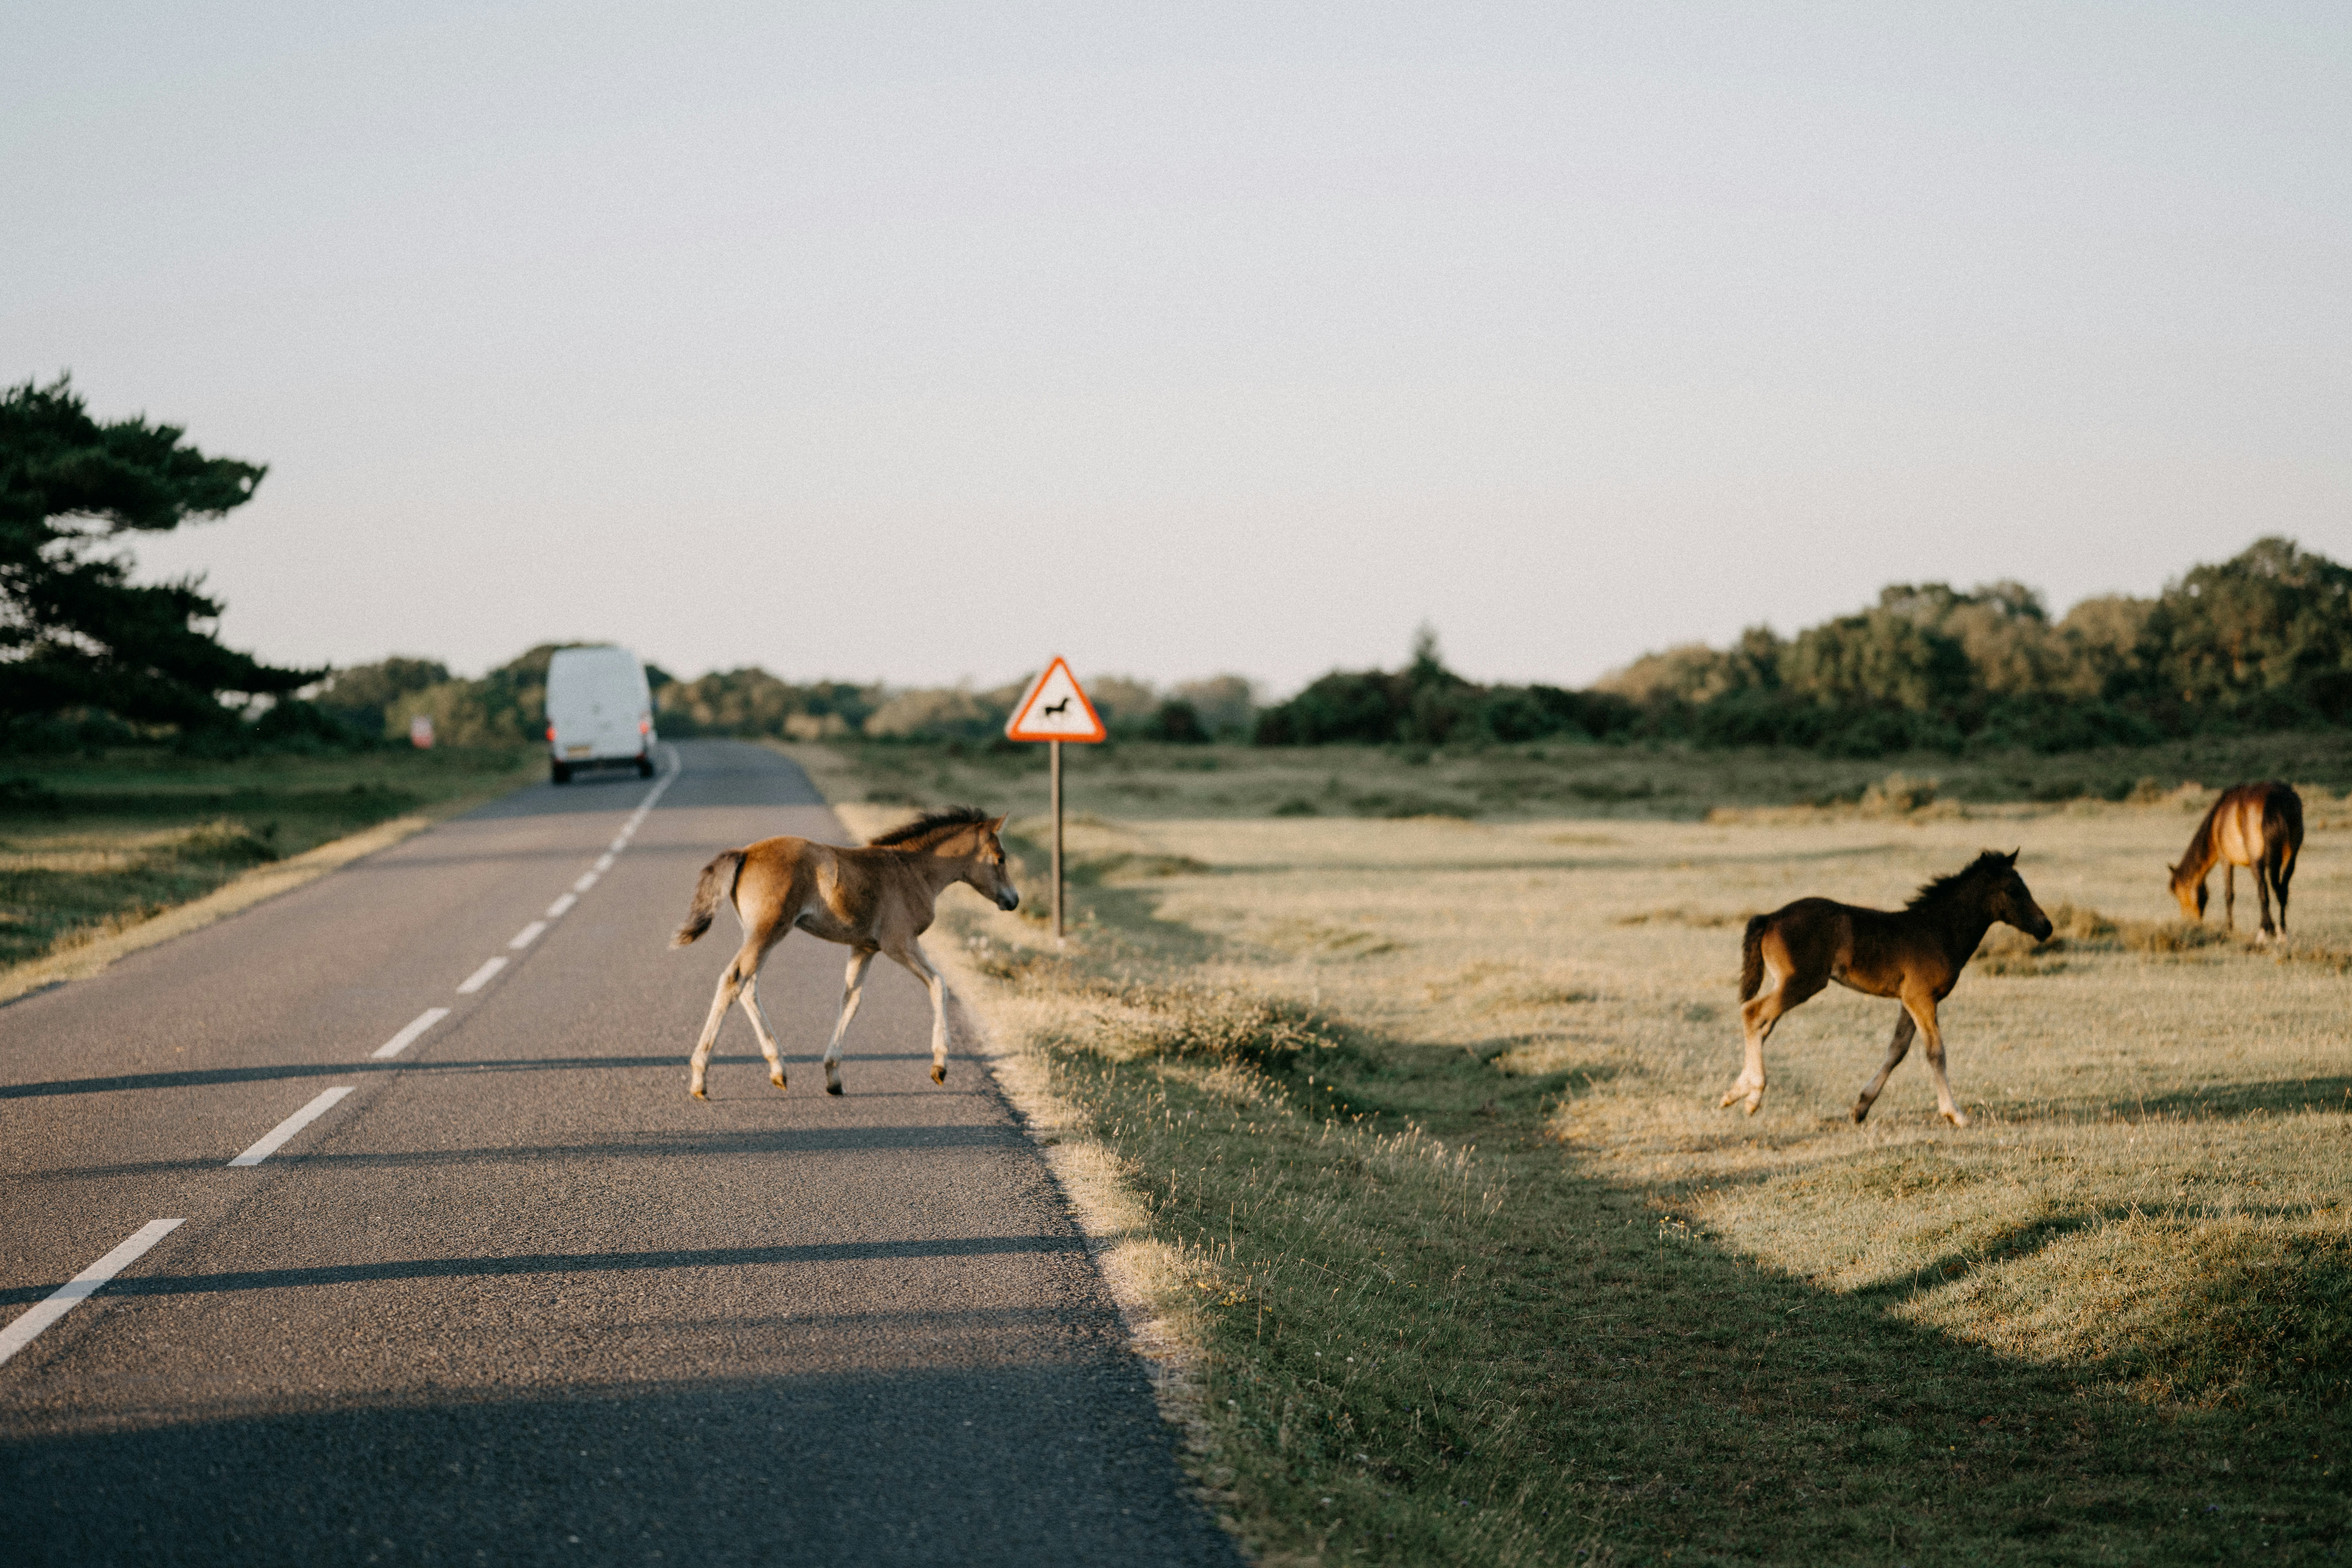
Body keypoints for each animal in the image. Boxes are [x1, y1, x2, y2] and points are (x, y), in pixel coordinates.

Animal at [670, 806, 1020, 1099]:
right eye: (1001, 858)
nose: (1014, 900)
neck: (912, 870)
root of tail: (745, 853)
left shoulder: (864, 947)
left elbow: (851, 1000)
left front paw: (833, 1077)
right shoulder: (899, 943)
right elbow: (938, 984)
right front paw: (940, 1066)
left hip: (759, 934)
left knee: (748, 986)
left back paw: (778, 1069)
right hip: (769, 931)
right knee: (734, 980)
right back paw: (700, 1079)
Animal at [1722, 849, 2052, 1129]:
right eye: (2014, 890)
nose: (2045, 927)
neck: (1938, 930)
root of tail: (1771, 918)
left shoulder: (1910, 1000)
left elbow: (1897, 1050)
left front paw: (1861, 1108)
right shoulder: (1921, 999)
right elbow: (1936, 1052)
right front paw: (1955, 1114)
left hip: (1787, 983)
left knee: (1763, 1026)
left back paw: (1738, 1093)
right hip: (1802, 983)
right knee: (1753, 1014)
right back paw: (1752, 1097)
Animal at [2169, 782, 2302, 941]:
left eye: (2179, 896)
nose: (2190, 924)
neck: (2218, 821)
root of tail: (2275, 797)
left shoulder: (2226, 861)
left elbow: (2229, 895)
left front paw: (2230, 928)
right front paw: (2273, 929)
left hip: (2257, 862)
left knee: (2264, 891)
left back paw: (2262, 934)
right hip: (2290, 859)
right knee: (2282, 891)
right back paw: (2282, 933)